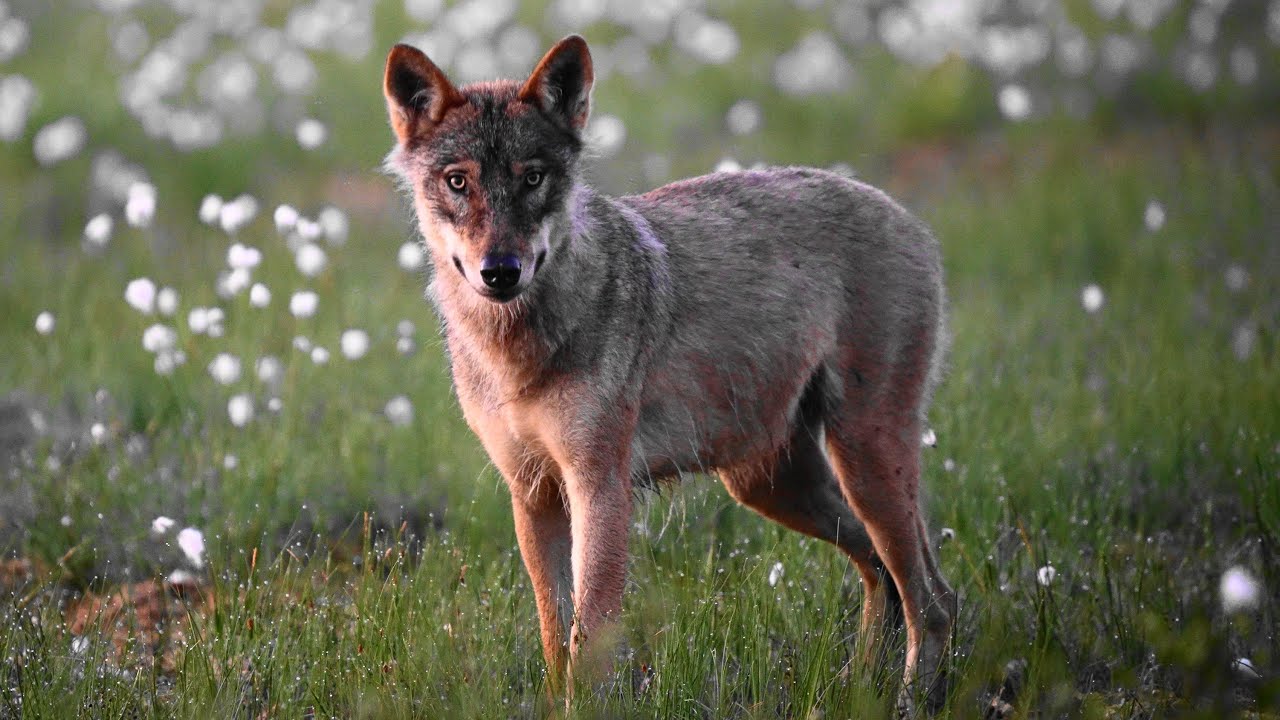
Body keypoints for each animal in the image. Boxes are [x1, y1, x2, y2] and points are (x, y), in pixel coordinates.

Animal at [382, 34, 957, 714]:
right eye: (457, 181)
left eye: (532, 177)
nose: (500, 271)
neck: (520, 347)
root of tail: (904, 214)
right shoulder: (533, 495)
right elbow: (553, 635)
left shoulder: (599, 489)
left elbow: (587, 640)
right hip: (771, 485)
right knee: (883, 576)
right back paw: (857, 688)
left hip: (863, 463)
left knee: (933, 600)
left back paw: (910, 699)